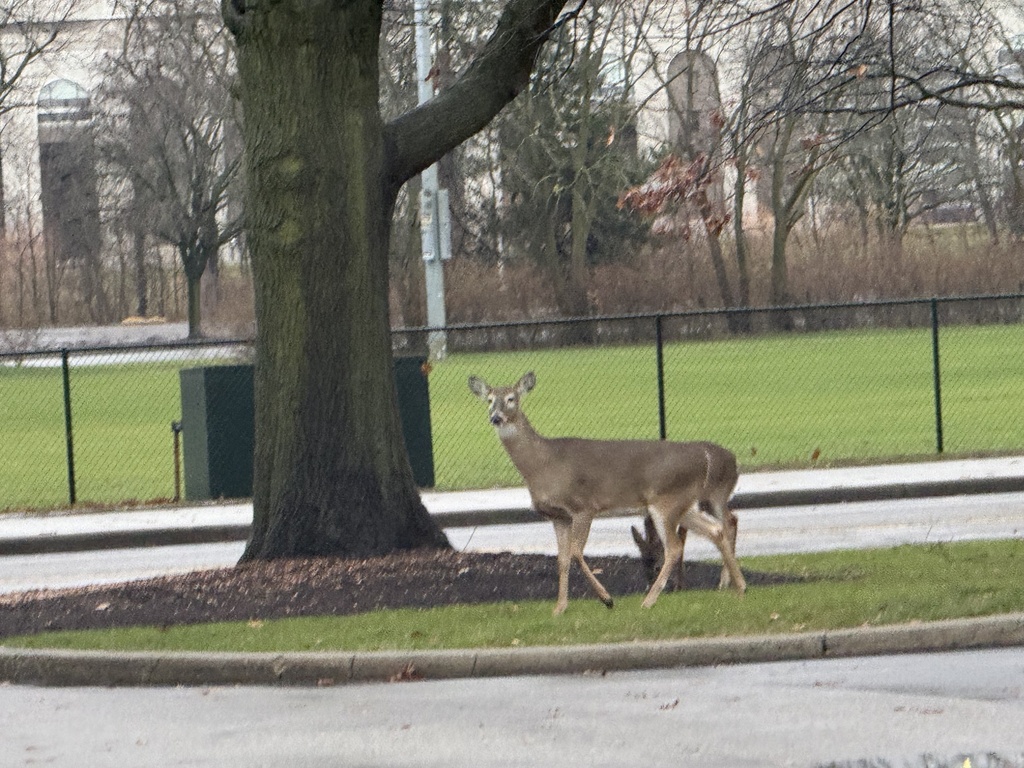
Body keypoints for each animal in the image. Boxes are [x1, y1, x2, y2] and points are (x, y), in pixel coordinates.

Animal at [468, 371, 745, 615]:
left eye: (511, 398)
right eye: (490, 399)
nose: (496, 417)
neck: (543, 464)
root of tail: (704, 458)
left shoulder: (583, 506)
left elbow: (576, 553)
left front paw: (607, 599)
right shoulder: (558, 516)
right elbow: (562, 560)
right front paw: (560, 608)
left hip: (667, 501)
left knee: (676, 546)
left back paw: (649, 600)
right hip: (683, 504)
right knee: (716, 530)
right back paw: (740, 586)